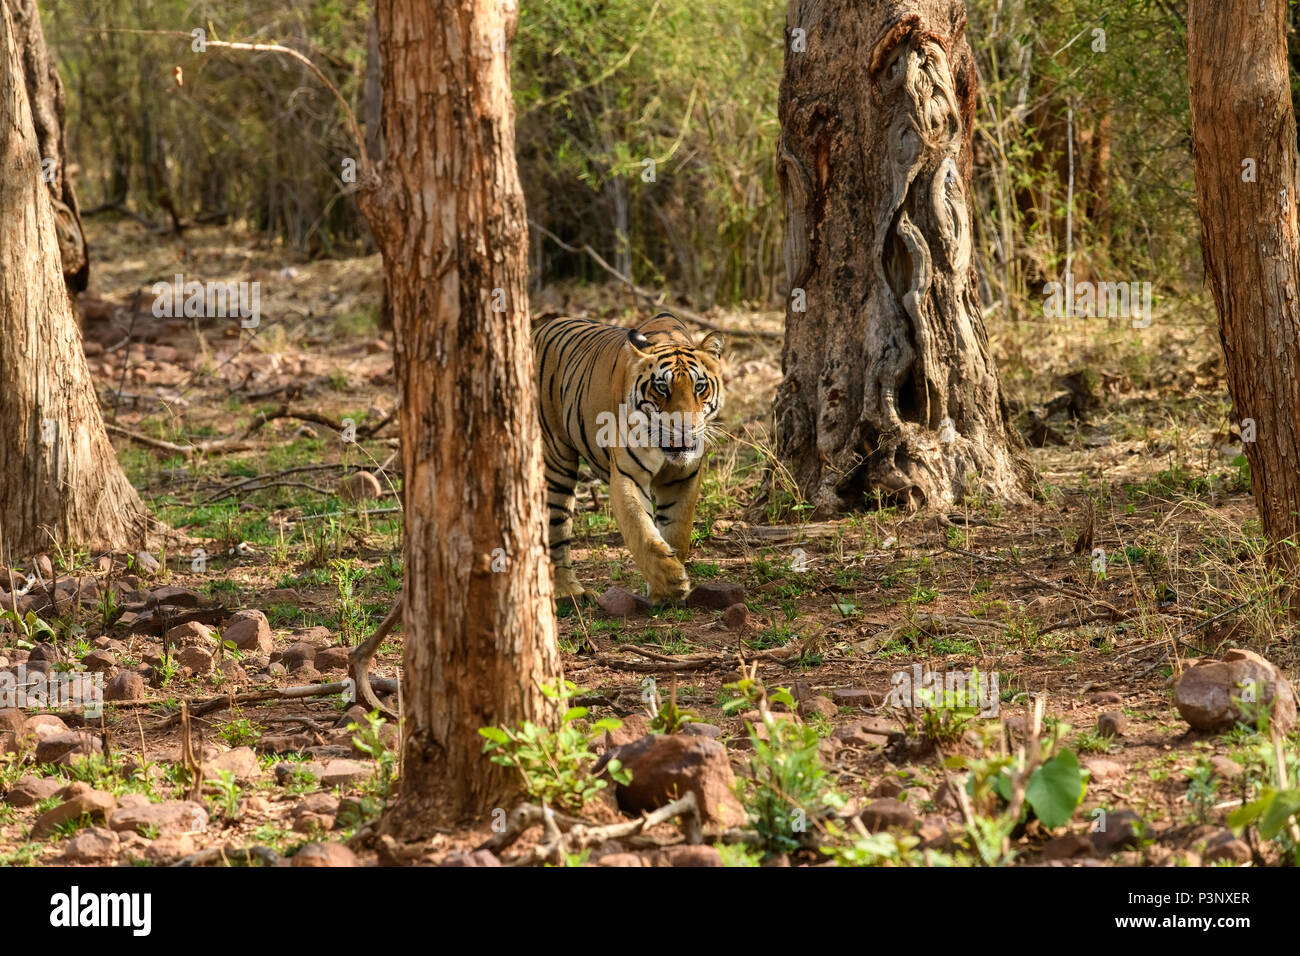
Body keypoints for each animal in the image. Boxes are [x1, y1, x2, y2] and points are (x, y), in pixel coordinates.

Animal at [533, 312, 725, 604]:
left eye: (699, 387)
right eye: (662, 388)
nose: (684, 427)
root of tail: (541, 326)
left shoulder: (685, 478)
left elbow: (678, 529)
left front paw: (667, 586)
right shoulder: (628, 475)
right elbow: (640, 528)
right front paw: (669, 582)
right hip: (556, 459)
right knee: (556, 529)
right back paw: (570, 591)